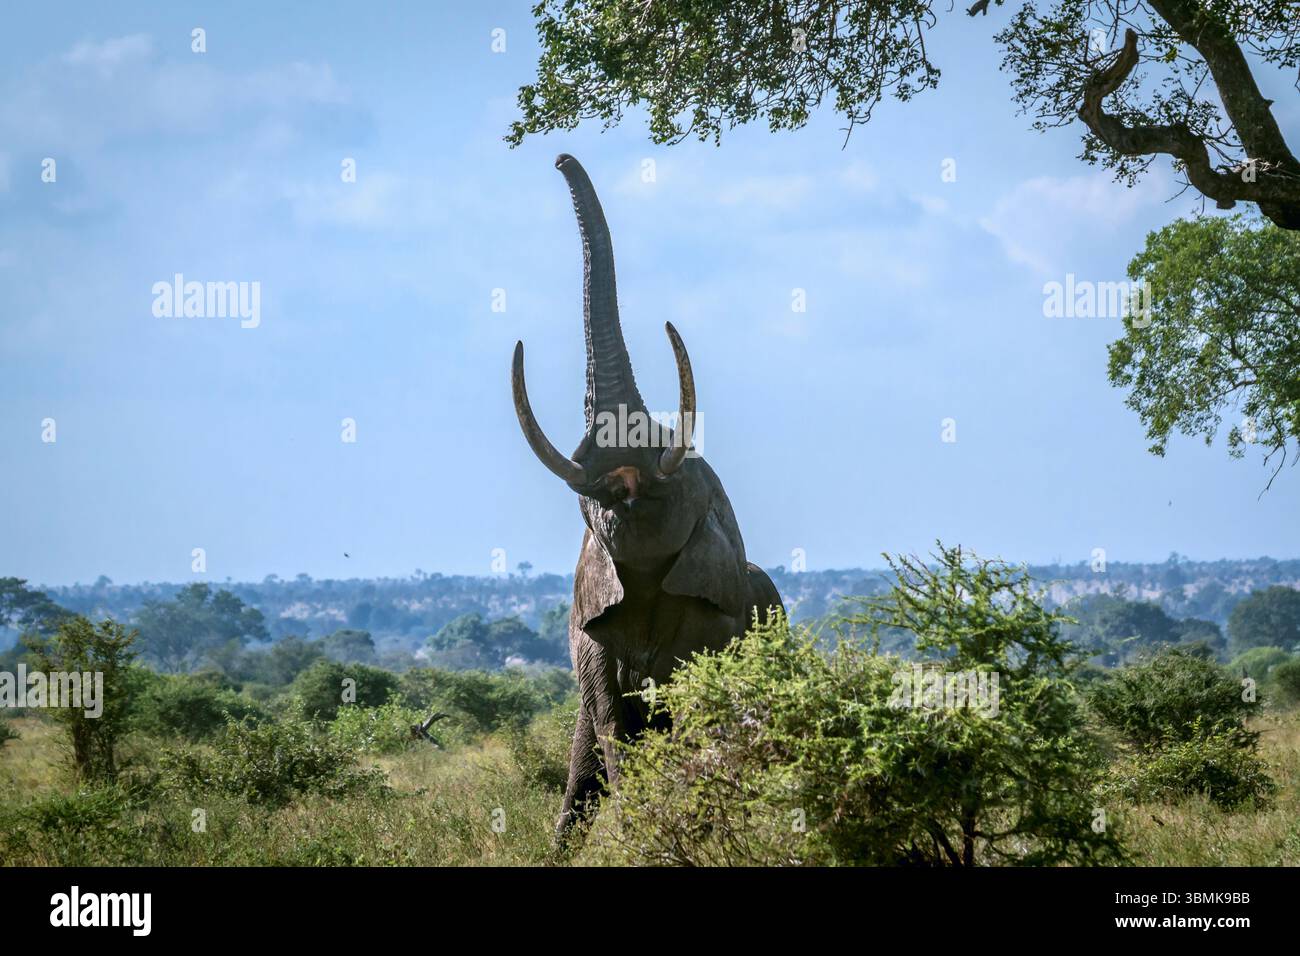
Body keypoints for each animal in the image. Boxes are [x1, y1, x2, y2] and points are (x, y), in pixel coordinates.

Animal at [510, 154, 783, 839]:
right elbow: (612, 728)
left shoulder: (717, 618)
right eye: (591, 511)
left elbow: (692, 717)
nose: (560, 158)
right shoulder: (589, 633)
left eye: (681, 483)